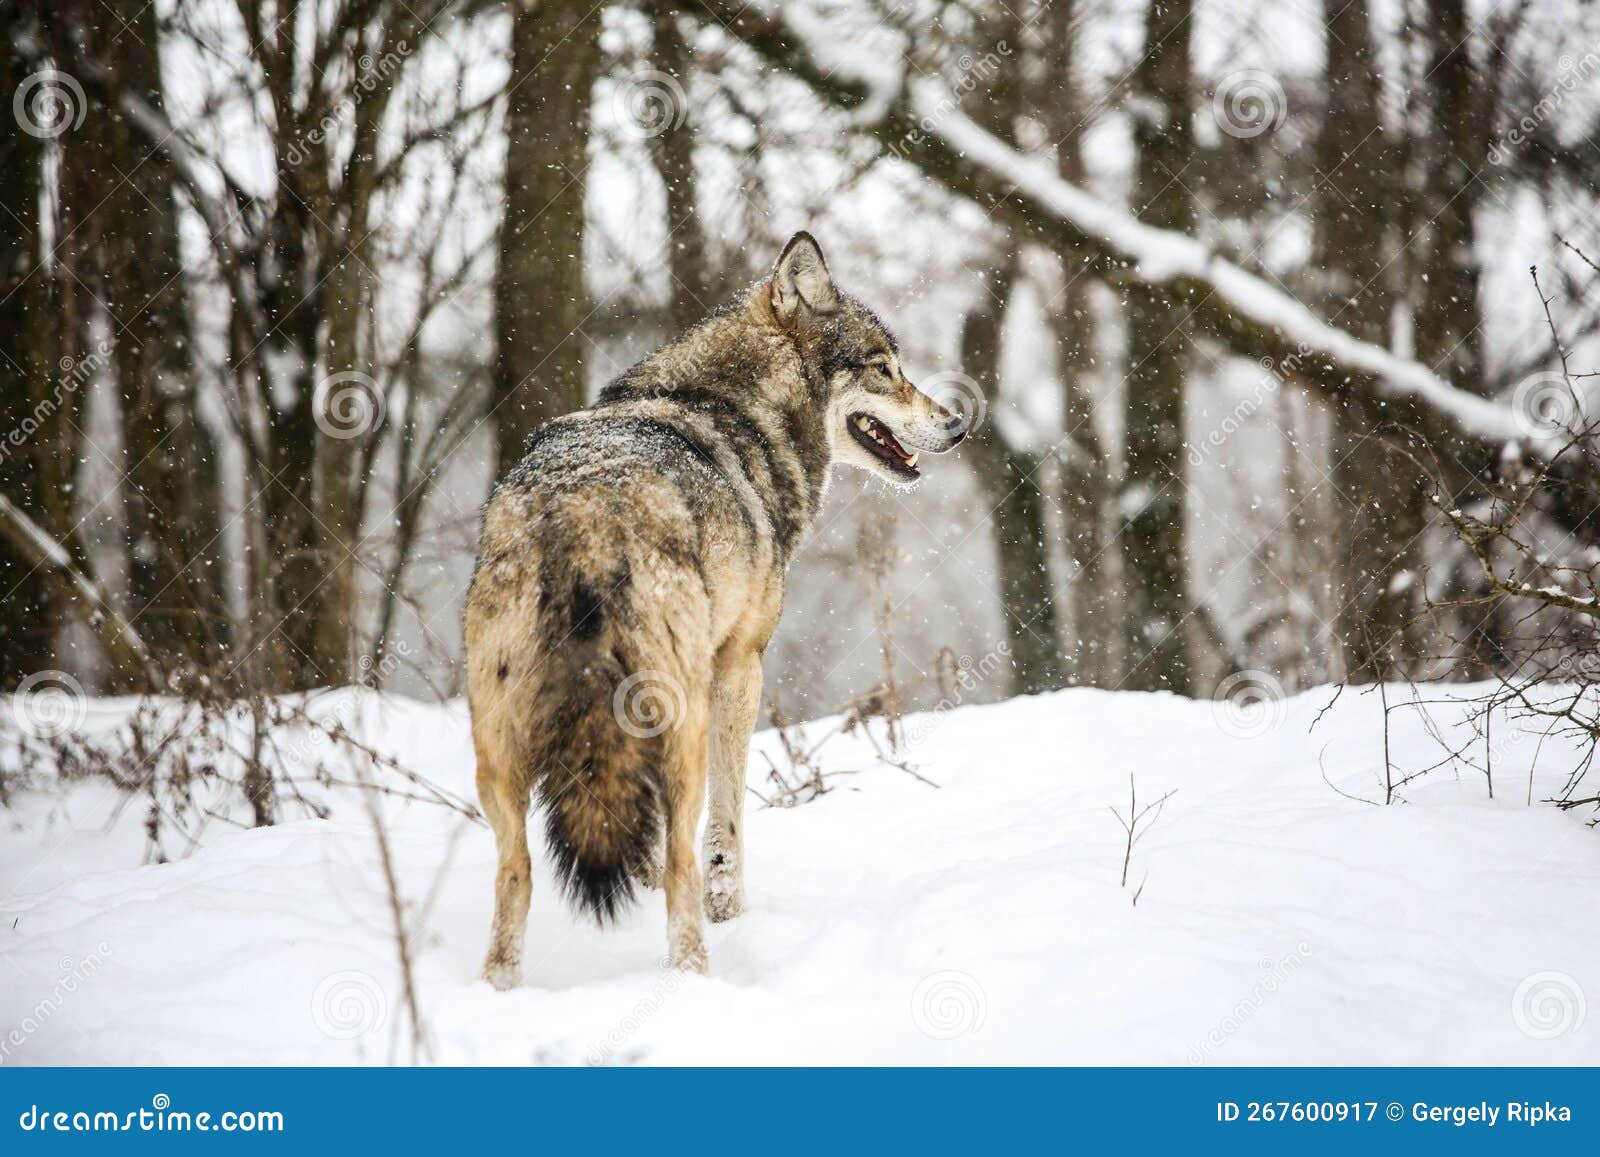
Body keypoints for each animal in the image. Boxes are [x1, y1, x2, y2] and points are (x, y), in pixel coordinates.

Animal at [466, 232, 964, 984]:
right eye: (885, 369)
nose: (958, 424)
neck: (734, 406)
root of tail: (580, 518)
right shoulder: (739, 664)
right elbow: (727, 821)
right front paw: (731, 906)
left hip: (496, 750)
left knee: (514, 876)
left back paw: (502, 988)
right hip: (676, 722)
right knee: (679, 867)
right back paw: (694, 976)